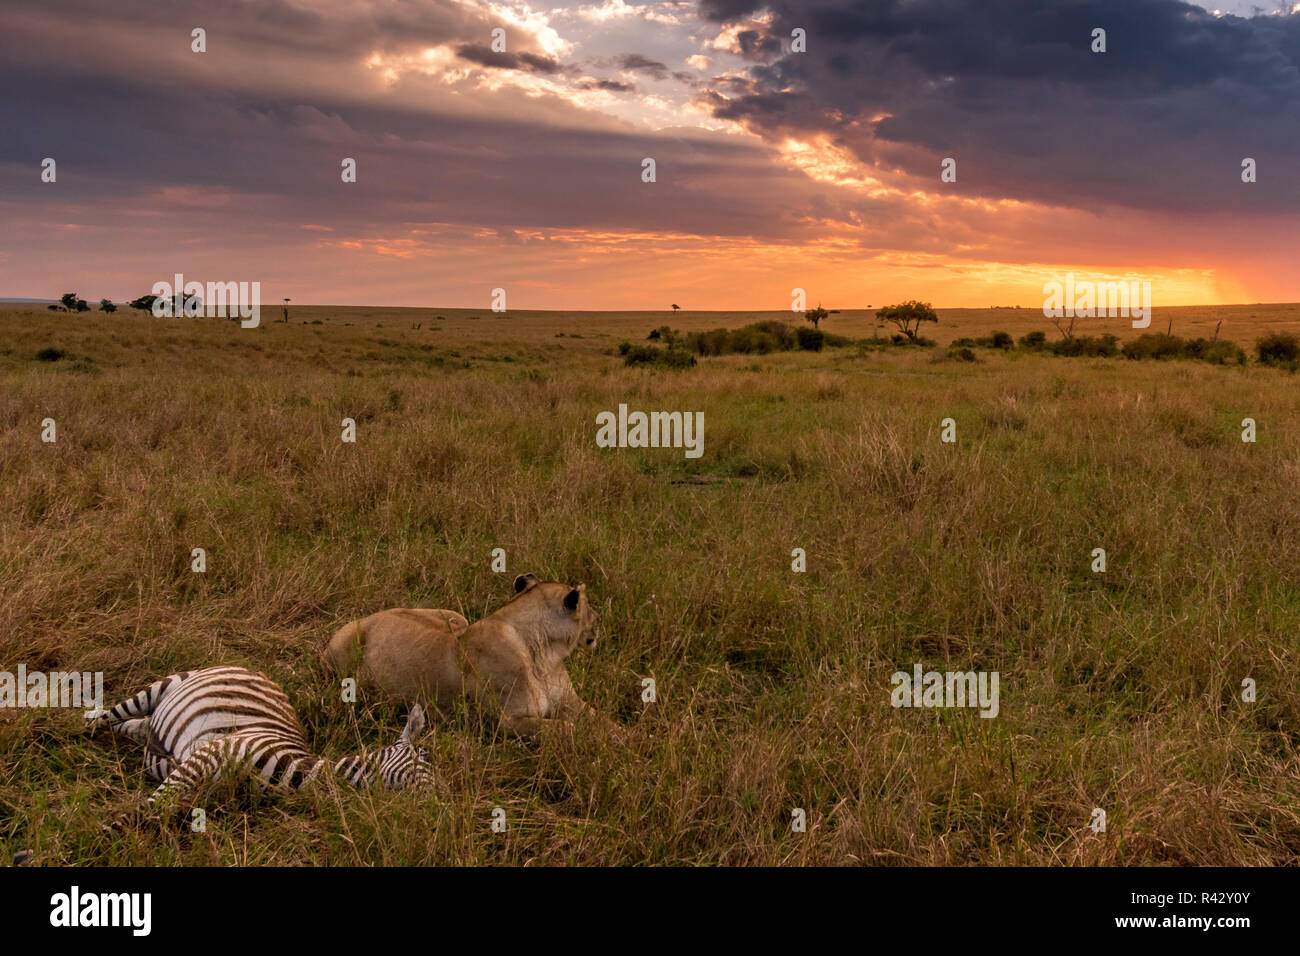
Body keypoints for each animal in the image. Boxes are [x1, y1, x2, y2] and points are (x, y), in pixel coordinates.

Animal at [87, 665, 434, 808]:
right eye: (425, 760)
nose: (435, 809)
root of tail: (252, 670)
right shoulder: (211, 753)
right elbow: (154, 804)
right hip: (161, 687)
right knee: (106, 716)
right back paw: (81, 728)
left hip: (149, 727)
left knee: (133, 727)